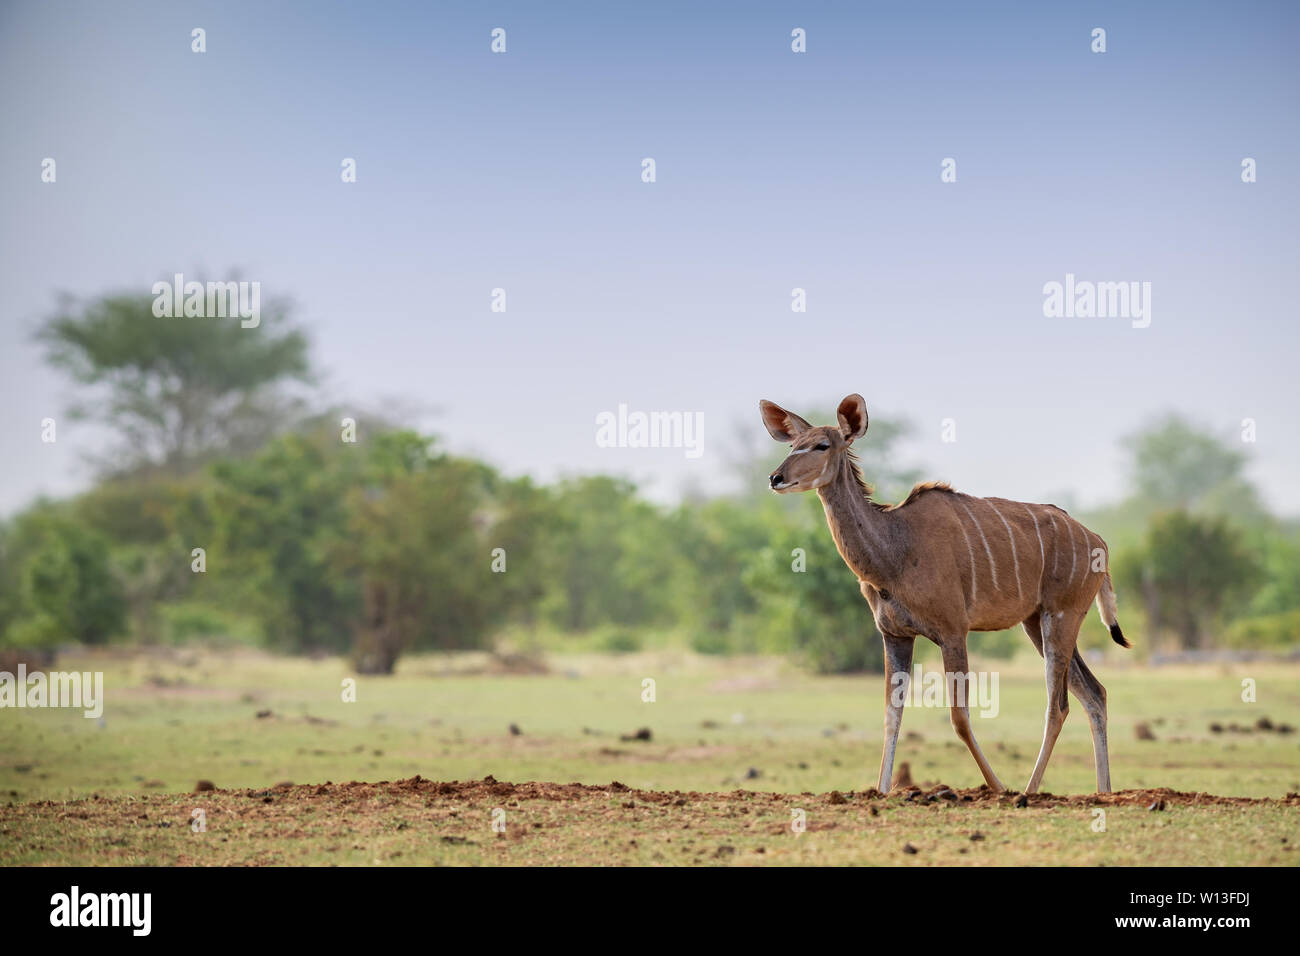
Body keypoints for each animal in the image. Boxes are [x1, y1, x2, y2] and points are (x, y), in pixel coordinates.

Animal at [760, 394, 1130, 795]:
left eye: (822, 445)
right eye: (793, 445)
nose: (776, 478)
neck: (895, 548)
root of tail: (1098, 541)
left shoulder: (953, 632)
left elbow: (959, 717)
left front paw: (998, 787)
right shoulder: (895, 636)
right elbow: (892, 715)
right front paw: (882, 791)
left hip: (1060, 617)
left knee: (1058, 704)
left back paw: (1029, 791)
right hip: (1037, 623)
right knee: (1094, 693)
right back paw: (1104, 790)